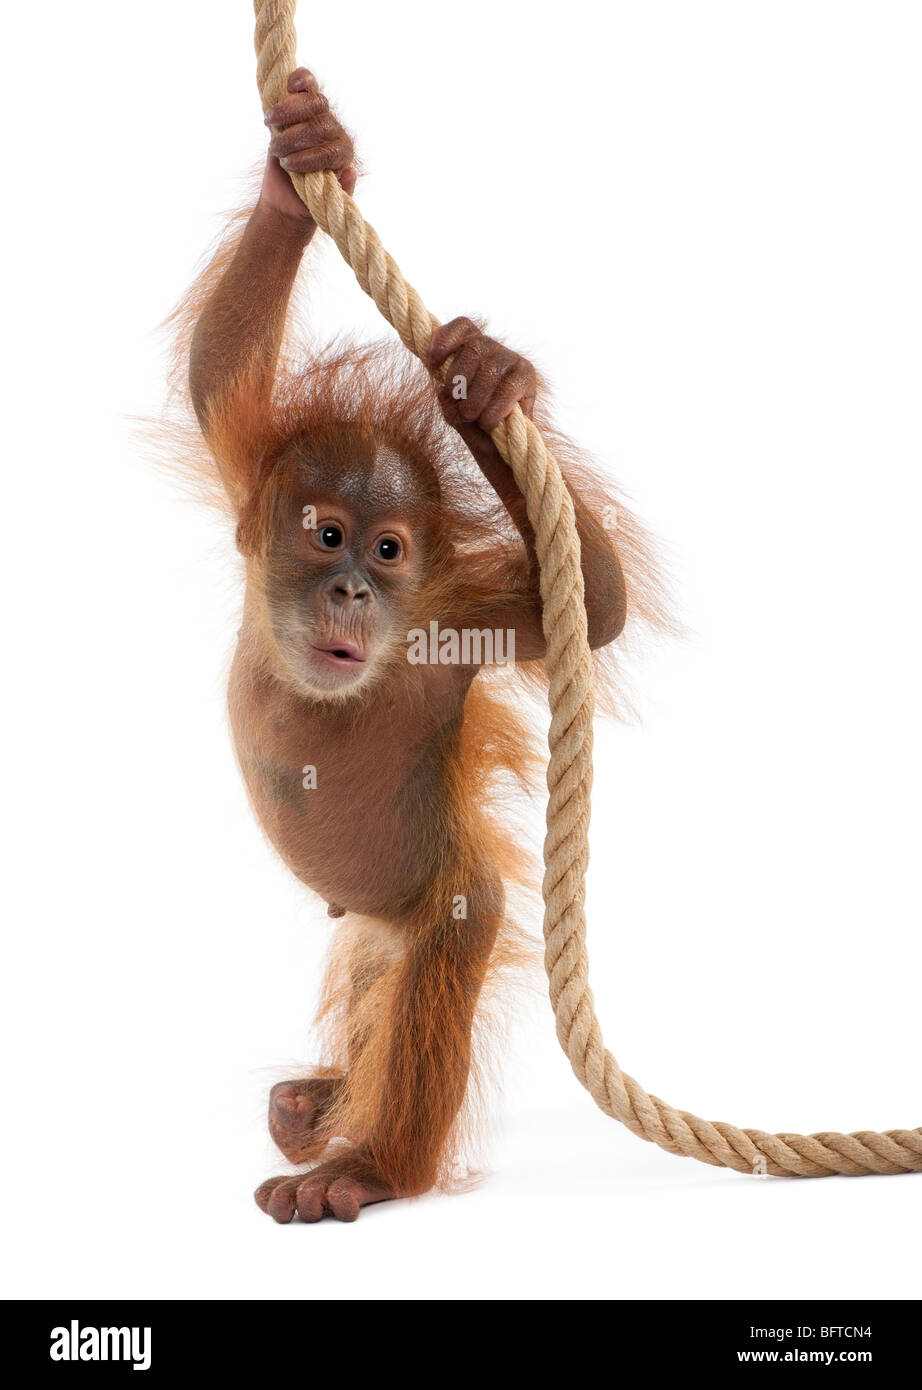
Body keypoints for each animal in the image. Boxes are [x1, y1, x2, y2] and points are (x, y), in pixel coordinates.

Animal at [171, 67, 667, 1221]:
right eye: (326, 533)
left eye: (390, 549)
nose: (354, 585)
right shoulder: (250, 478)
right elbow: (217, 374)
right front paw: (297, 167)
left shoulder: (451, 625)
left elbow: (595, 612)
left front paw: (490, 389)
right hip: (369, 934)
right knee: (374, 993)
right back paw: (316, 1103)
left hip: (441, 901)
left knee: (438, 977)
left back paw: (366, 1165)